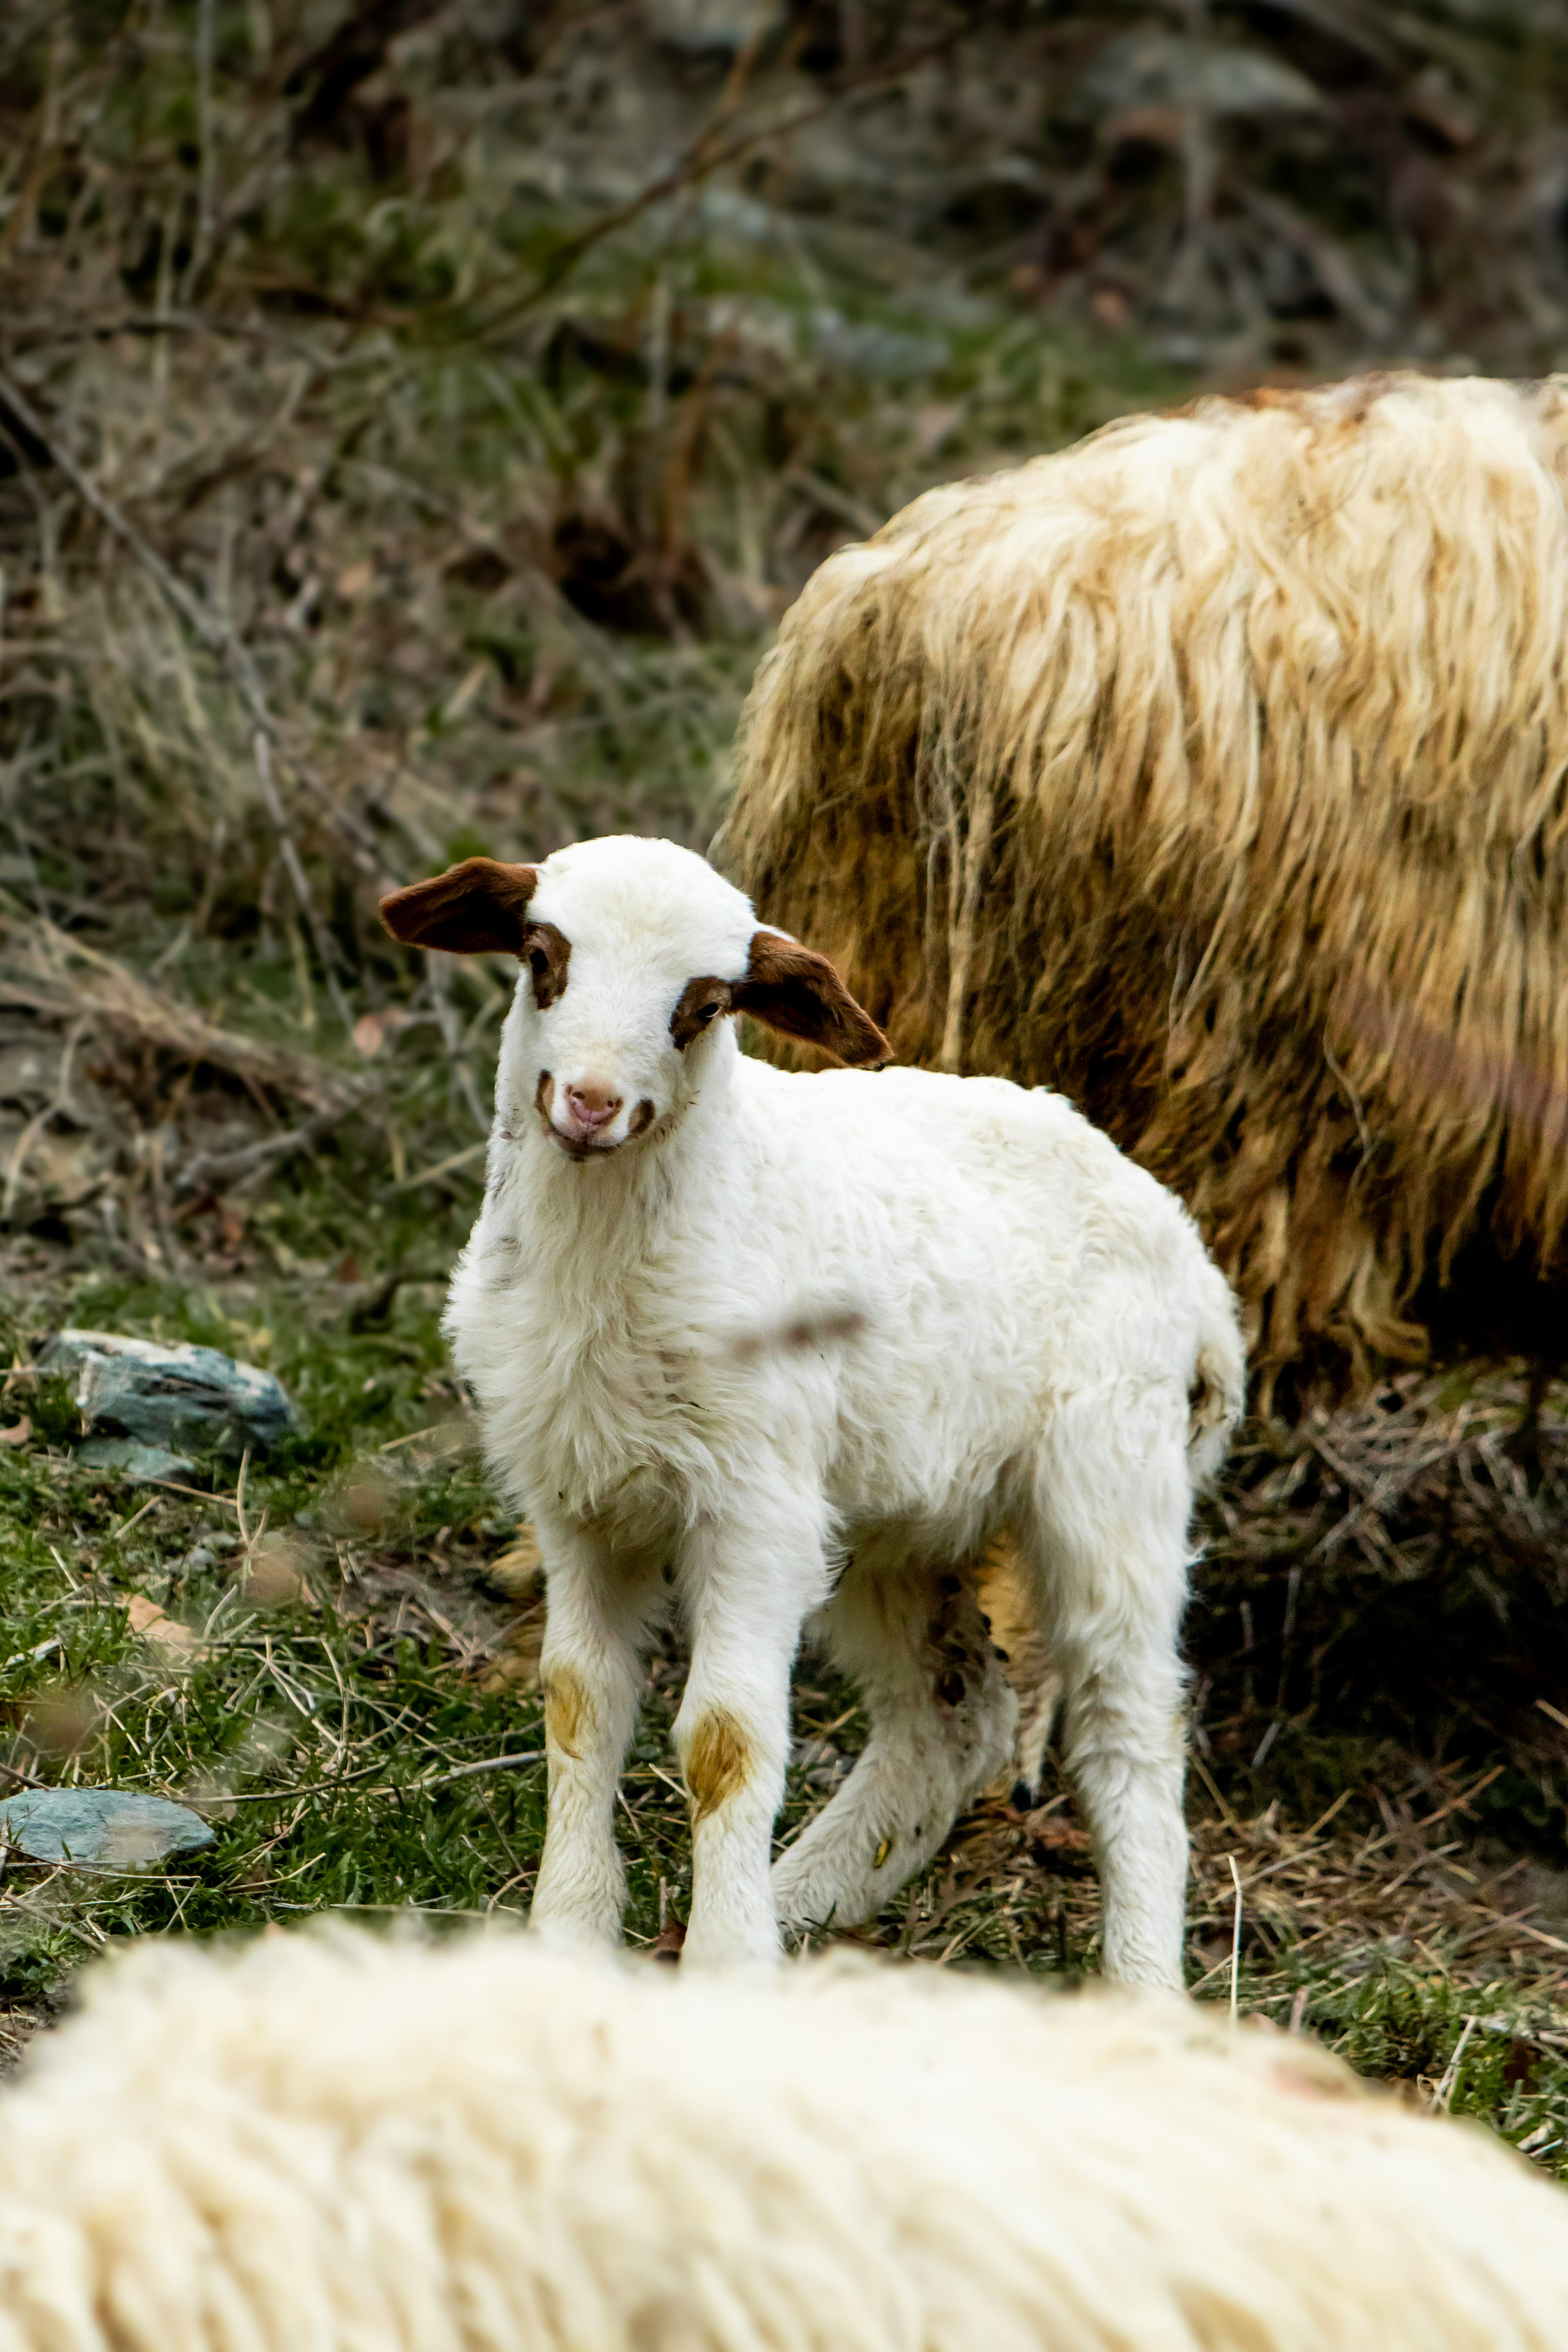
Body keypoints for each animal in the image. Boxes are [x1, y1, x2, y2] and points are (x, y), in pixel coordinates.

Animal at [380, 835, 1243, 1988]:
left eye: (705, 1005)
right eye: (540, 955)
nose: (592, 1104)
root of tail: (1198, 1273)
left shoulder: (752, 1508)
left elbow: (724, 1741)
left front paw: (724, 1966)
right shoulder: (581, 1502)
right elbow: (579, 1705)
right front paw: (570, 1935)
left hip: (1110, 1475)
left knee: (1128, 1736)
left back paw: (1138, 1986)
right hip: (892, 1517)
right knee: (950, 1723)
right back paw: (803, 1901)